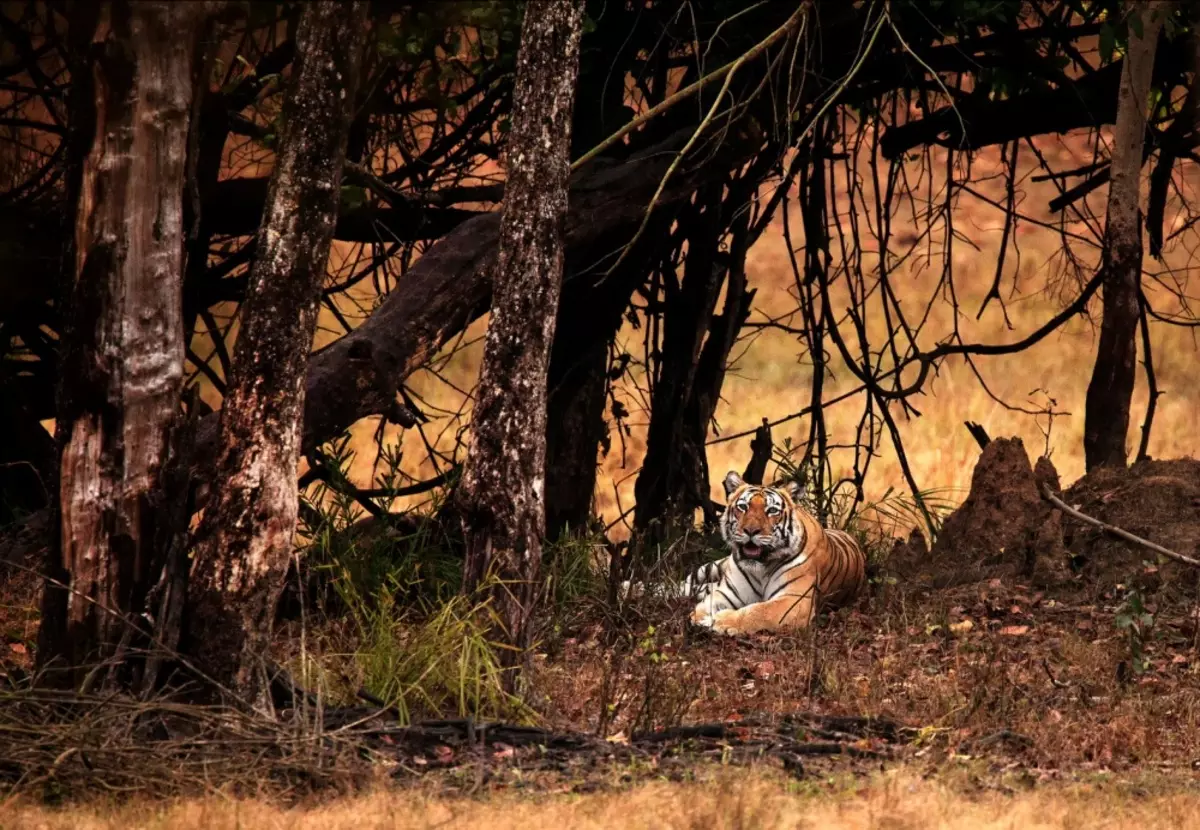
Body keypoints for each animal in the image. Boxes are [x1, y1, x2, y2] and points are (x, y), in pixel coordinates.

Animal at [691, 472, 868, 633]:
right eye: (743, 507)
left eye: (772, 510)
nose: (750, 530)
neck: (760, 569)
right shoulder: (729, 592)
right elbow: (708, 603)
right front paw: (698, 616)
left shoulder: (794, 601)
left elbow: (759, 611)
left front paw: (719, 621)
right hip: (711, 567)